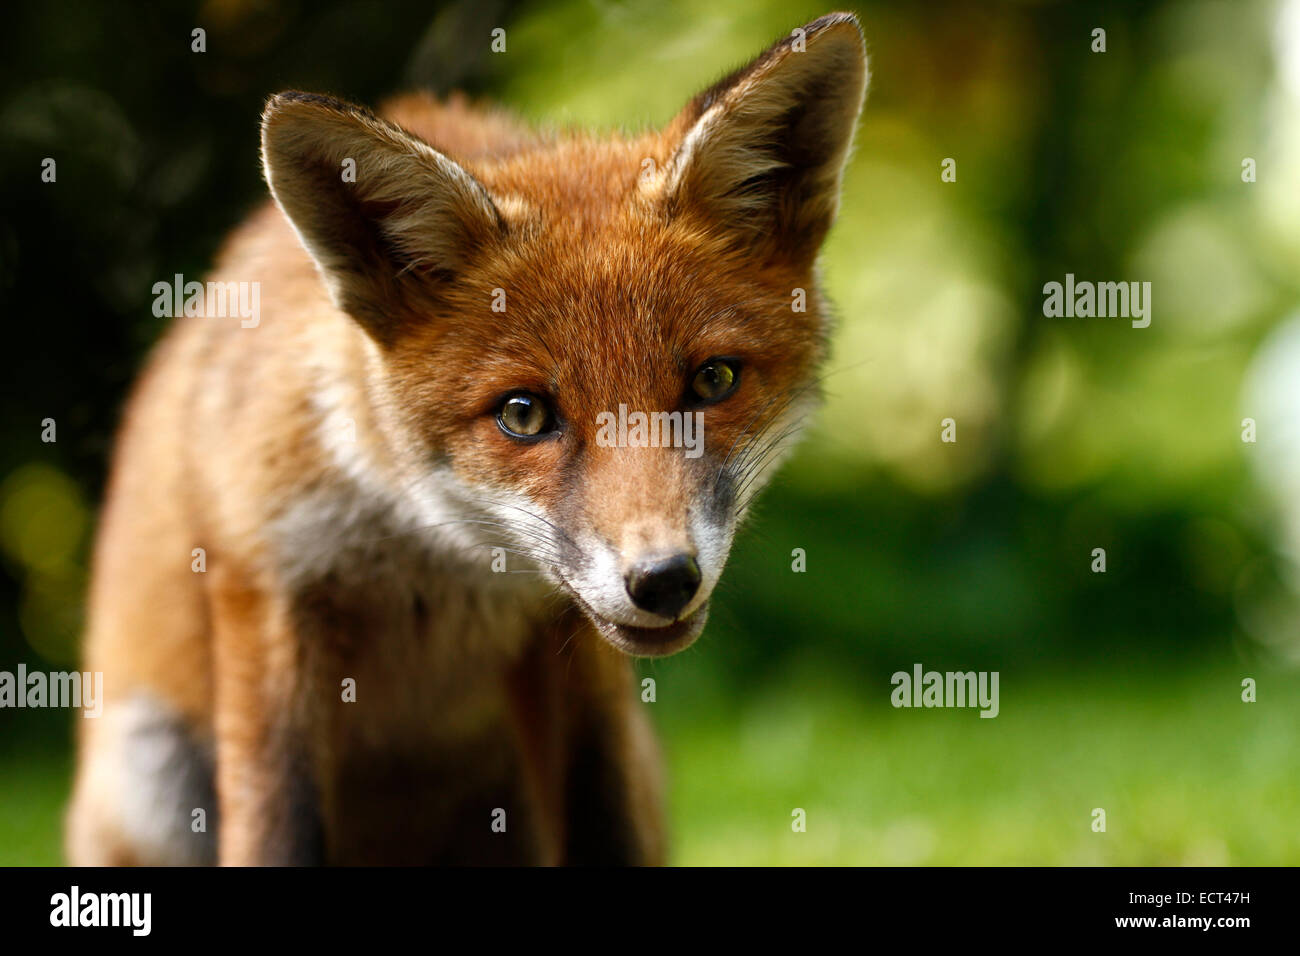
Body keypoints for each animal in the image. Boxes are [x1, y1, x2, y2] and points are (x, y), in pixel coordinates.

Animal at [65, 12, 868, 865]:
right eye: (524, 414)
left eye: (713, 381)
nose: (662, 580)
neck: (438, 555)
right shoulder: (270, 593)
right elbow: (276, 831)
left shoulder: (570, 651)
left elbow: (603, 823)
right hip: (151, 767)